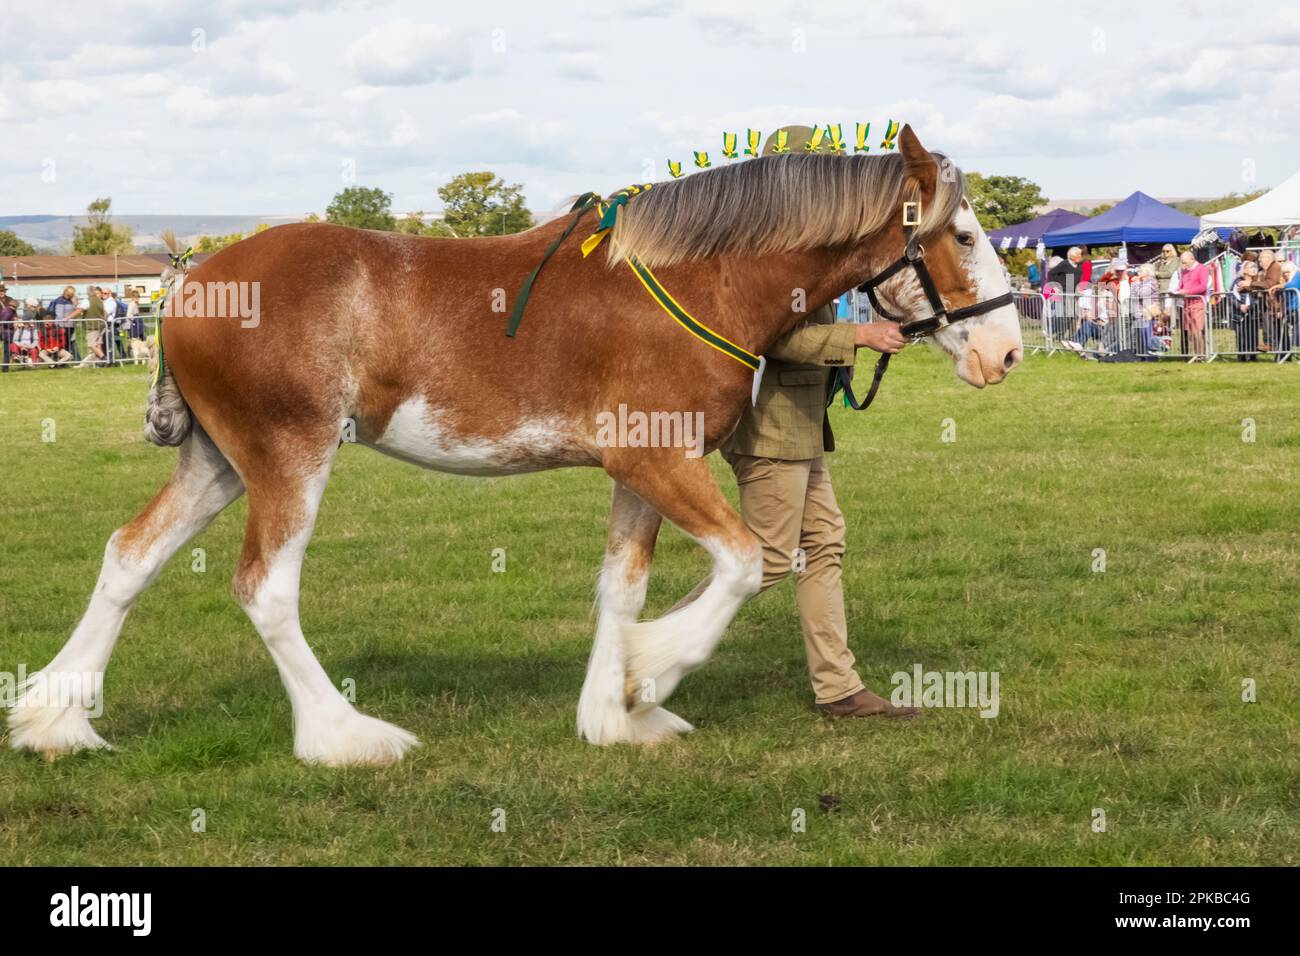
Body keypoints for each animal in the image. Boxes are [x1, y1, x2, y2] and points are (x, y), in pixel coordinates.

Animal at [7, 126, 1023, 766]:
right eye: (967, 234)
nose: (1007, 352)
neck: (698, 280)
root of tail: (189, 280)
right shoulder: (659, 463)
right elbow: (742, 565)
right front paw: (649, 676)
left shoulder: (639, 472)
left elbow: (623, 587)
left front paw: (614, 716)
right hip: (290, 456)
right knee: (265, 589)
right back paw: (346, 737)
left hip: (219, 461)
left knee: (130, 557)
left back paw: (57, 719)